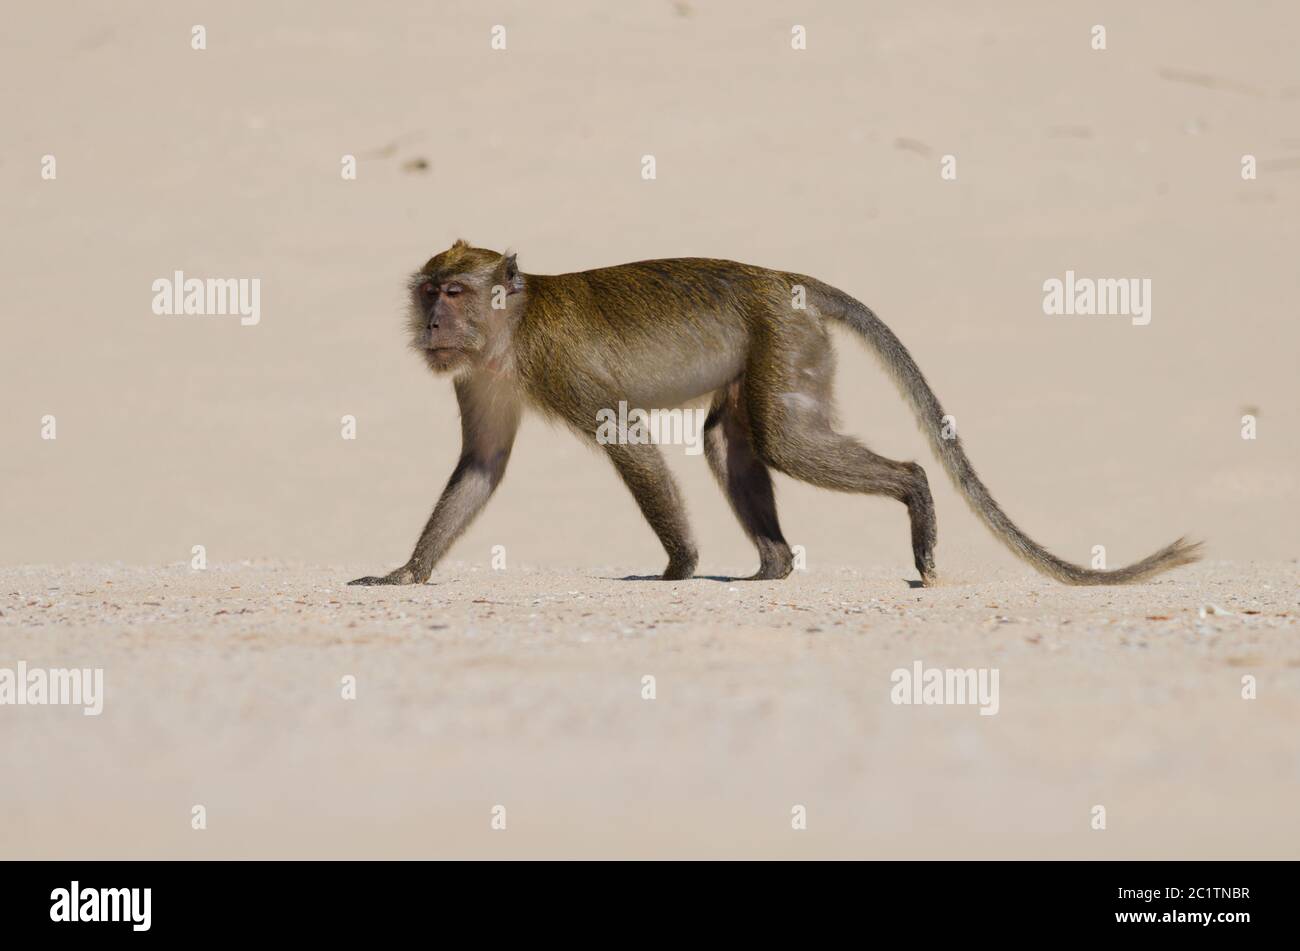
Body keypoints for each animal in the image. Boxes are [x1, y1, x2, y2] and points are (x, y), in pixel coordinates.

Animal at [350, 240, 1201, 587]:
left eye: (453, 292)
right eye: (427, 292)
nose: (431, 323)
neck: (512, 327)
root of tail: (785, 279)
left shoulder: (558, 364)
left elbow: (628, 439)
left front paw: (677, 567)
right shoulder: (479, 378)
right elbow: (481, 465)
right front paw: (410, 571)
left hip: (788, 339)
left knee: (786, 441)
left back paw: (916, 496)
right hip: (790, 348)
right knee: (731, 441)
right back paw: (774, 564)